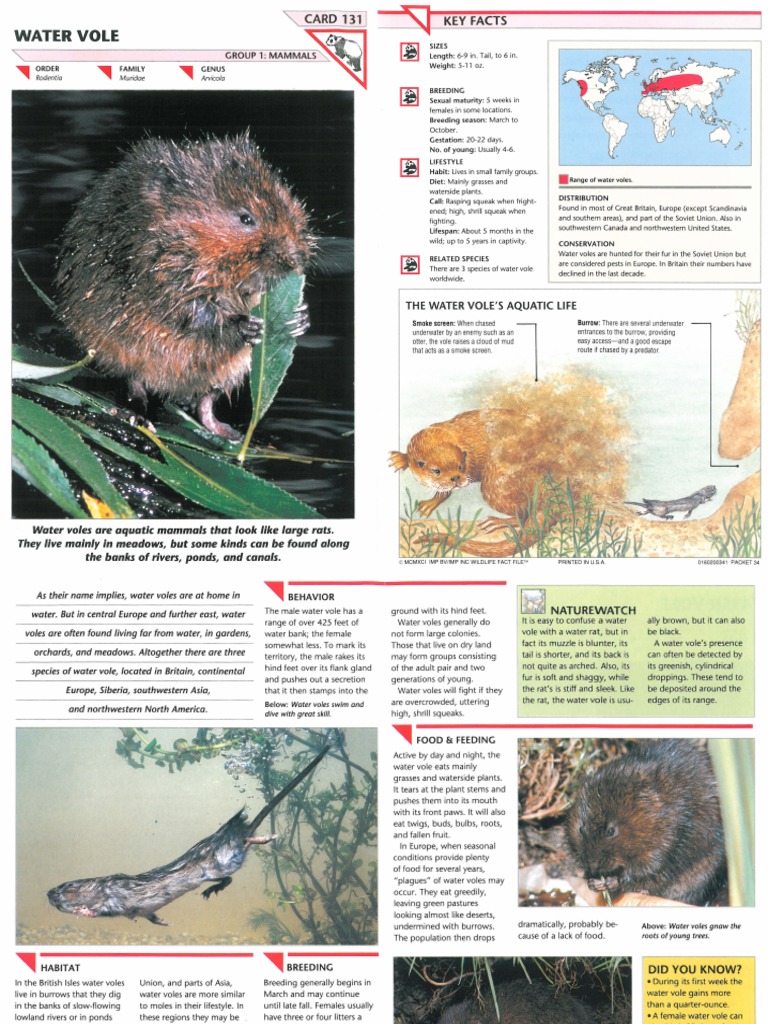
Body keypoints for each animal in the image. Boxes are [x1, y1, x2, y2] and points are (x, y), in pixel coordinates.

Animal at [47, 746, 328, 926]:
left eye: (66, 887)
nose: (48, 894)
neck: (102, 883)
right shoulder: (140, 907)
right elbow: (148, 915)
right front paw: (164, 922)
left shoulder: (117, 894)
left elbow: (109, 908)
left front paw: (84, 910)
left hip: (219, 861)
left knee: (238, 854)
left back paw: (264, 839)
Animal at [55, 134, 314, 439]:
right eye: (246, 218)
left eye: (290, 207)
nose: (294, 260)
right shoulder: (147, 257)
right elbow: (182, 308)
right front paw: (245, 325)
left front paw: (300, 317)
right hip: (118, 350)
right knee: (135, 381)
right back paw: (136, 415)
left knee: (207, 399)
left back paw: (228, 432)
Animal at [567, 740, 727, 905]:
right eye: (581, 829)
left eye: (611, 831)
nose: (592, 866)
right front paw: (591, 881)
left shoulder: (668, 839)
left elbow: (647, 869)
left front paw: (610, 882)